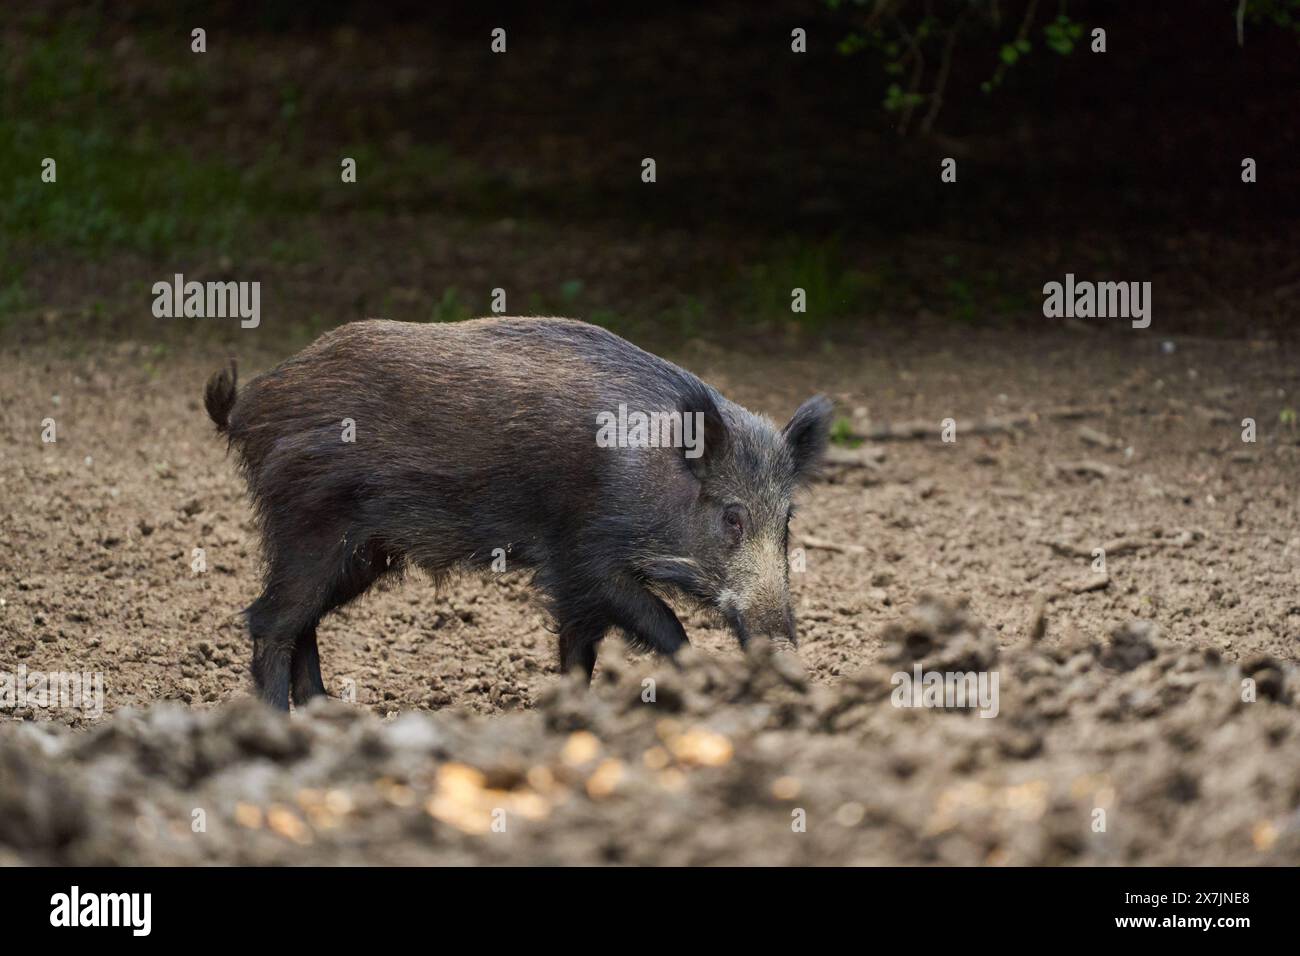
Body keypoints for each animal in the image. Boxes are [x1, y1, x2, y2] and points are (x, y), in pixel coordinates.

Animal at [205, 317, 832, 710]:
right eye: (732, 517)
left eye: (787, 521)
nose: (782, 650)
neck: (647, 474)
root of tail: (247, 406)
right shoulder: (581, 556)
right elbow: (662, 624)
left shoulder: (578, 587)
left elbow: (579, 650)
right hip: (310, 525)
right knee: (269, 620)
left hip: (358, 553)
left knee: (300, 621)